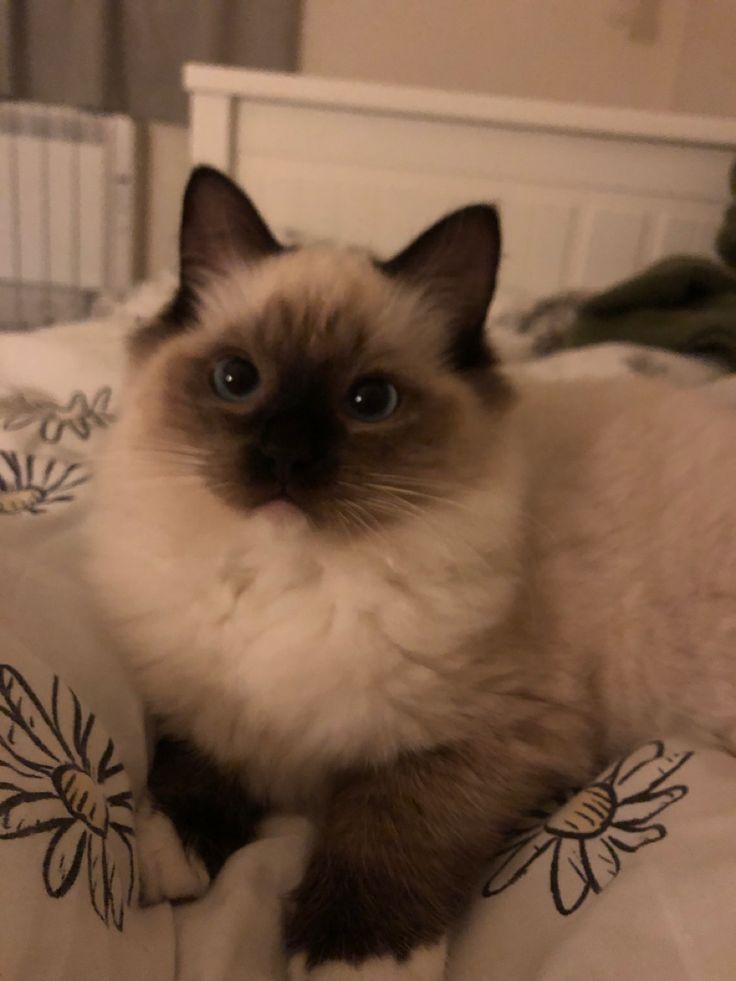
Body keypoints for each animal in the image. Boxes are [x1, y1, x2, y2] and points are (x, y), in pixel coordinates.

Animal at [89, 165, 736, 976]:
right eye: (236, 379)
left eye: (371, 401)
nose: (286, 457)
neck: (293, 580)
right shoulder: (203, 696)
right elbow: (198, 758)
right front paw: (166, 853)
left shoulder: (493, 734)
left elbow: (390, 824)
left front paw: (355, 959)